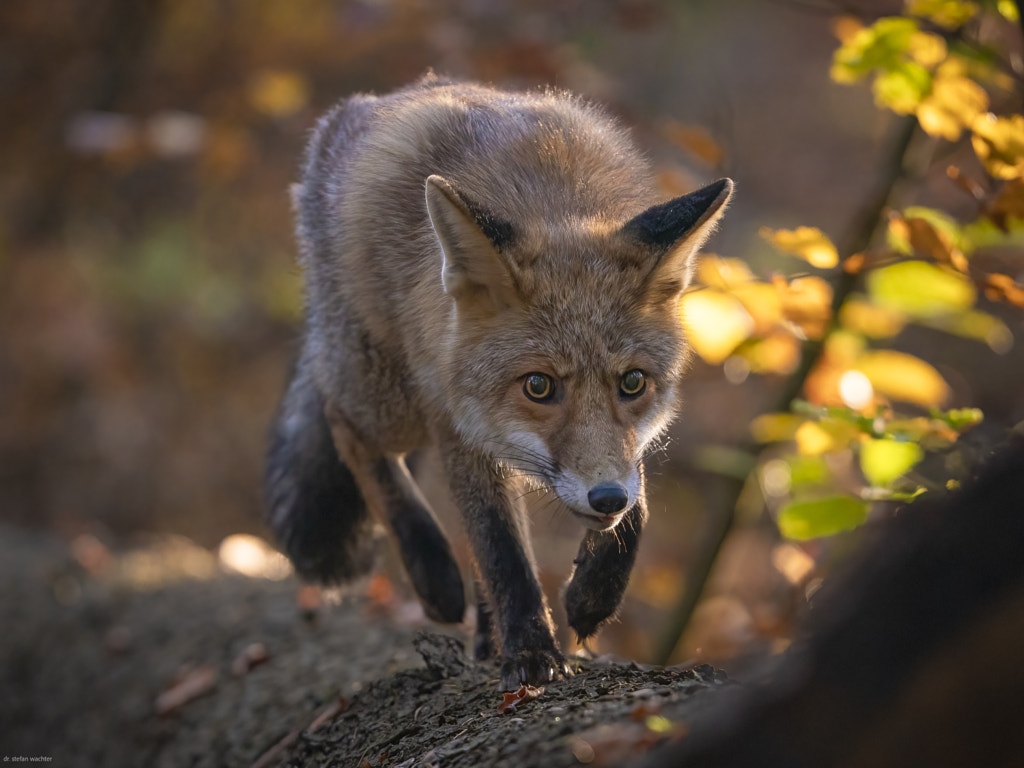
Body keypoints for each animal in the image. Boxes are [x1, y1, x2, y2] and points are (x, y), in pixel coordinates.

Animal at [266, 74, 732, 691]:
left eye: (633, 382)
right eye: (538, 386)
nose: (604, 496)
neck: (551, 200)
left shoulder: (623, 450)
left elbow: (637, 506)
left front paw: (592, 597)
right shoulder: (461, 427)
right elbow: (501, 548)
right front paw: (532, 650)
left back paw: (488, 634)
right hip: (386, 399)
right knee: (346, 425)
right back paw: (435, 575)